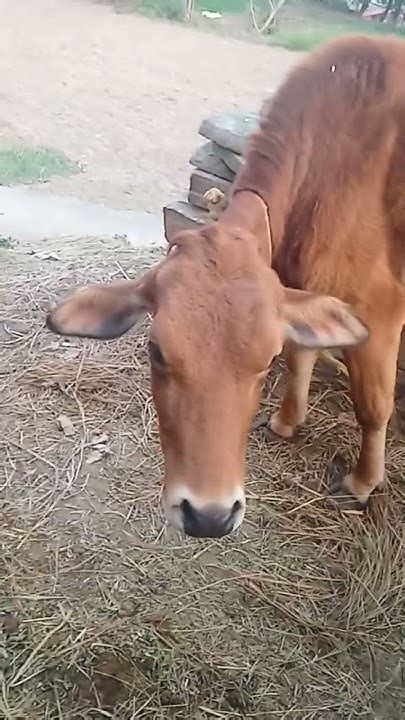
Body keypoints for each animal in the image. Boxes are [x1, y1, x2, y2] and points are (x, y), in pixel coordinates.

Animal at [47, 35, 405, 538]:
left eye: (264, 359)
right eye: (156, 350)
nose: (209, 515)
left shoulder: (380, 307)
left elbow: (372, 403)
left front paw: (362, 482)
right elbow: (303, 352)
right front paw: (286, 421)